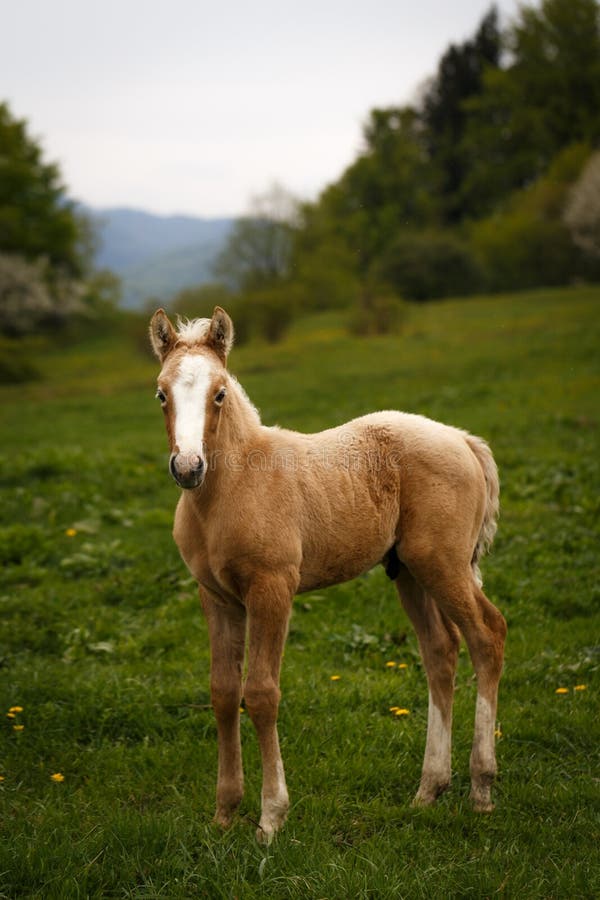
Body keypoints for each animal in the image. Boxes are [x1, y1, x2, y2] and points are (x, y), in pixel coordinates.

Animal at [150, 305, 506, 843]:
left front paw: (270, 818)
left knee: (487, 634)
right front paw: (224, 813)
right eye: (161, 394)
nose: (188, 467)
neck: (231, 489)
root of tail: (463, 440)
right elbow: (223, 692)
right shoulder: (216, 596)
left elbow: (261, 693)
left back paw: (481, 789)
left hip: (442, 563)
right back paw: (429, 790)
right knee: (440, 652)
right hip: (409, 571)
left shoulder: (273, 588)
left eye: (220, 393)